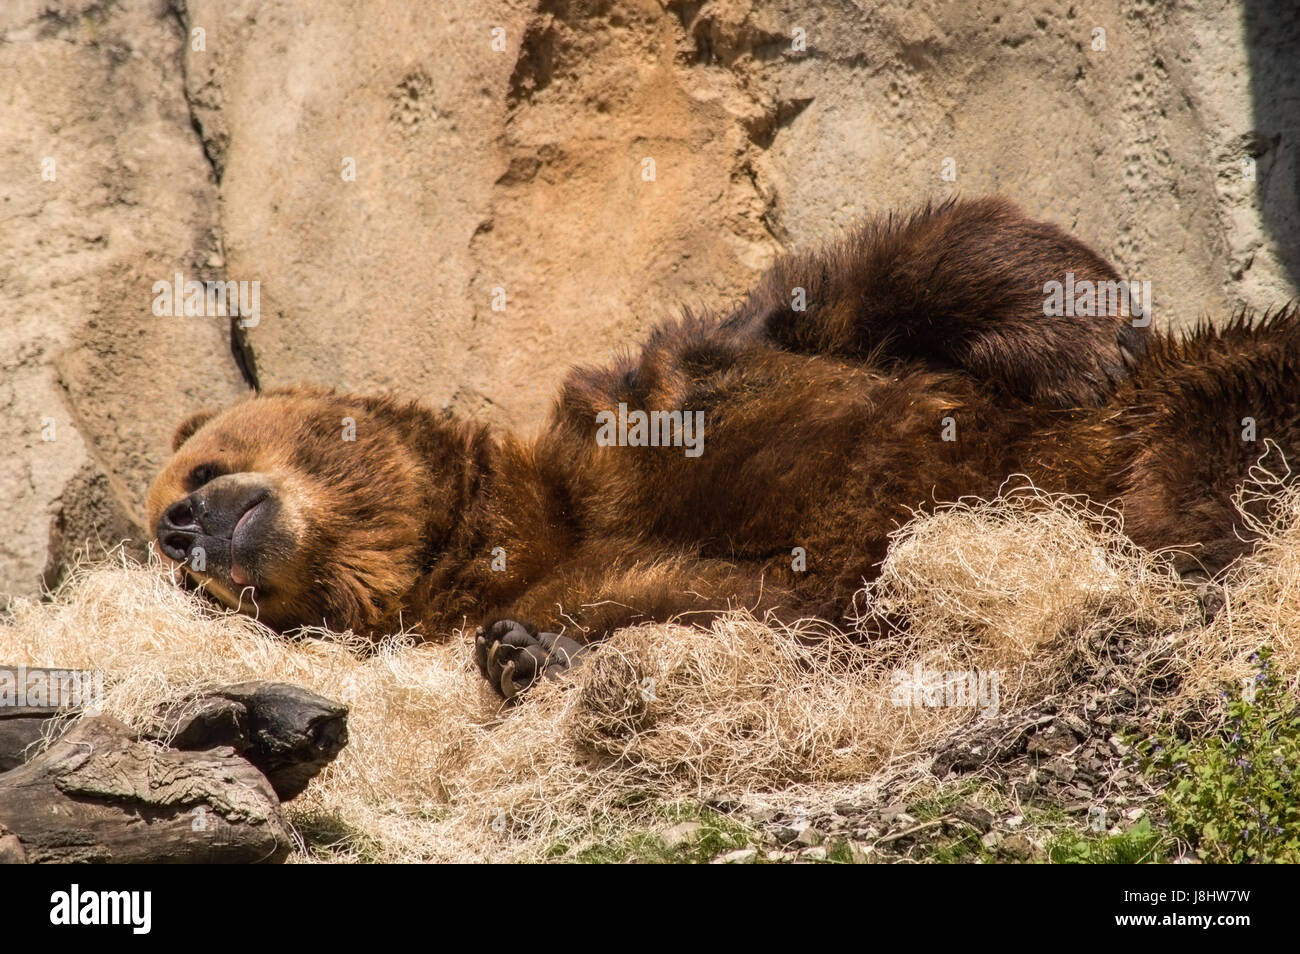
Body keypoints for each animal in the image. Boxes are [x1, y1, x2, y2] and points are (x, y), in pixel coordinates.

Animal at [145, 197, 1300, 700]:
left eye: (194, 472)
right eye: (167, 537)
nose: (184, 529)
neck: (506, 531)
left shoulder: (668, 399)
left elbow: (871, 281)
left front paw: (1084, 339)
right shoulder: (596, 573)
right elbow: (754, 611)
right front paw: (528, 656)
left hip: (1203, 388)